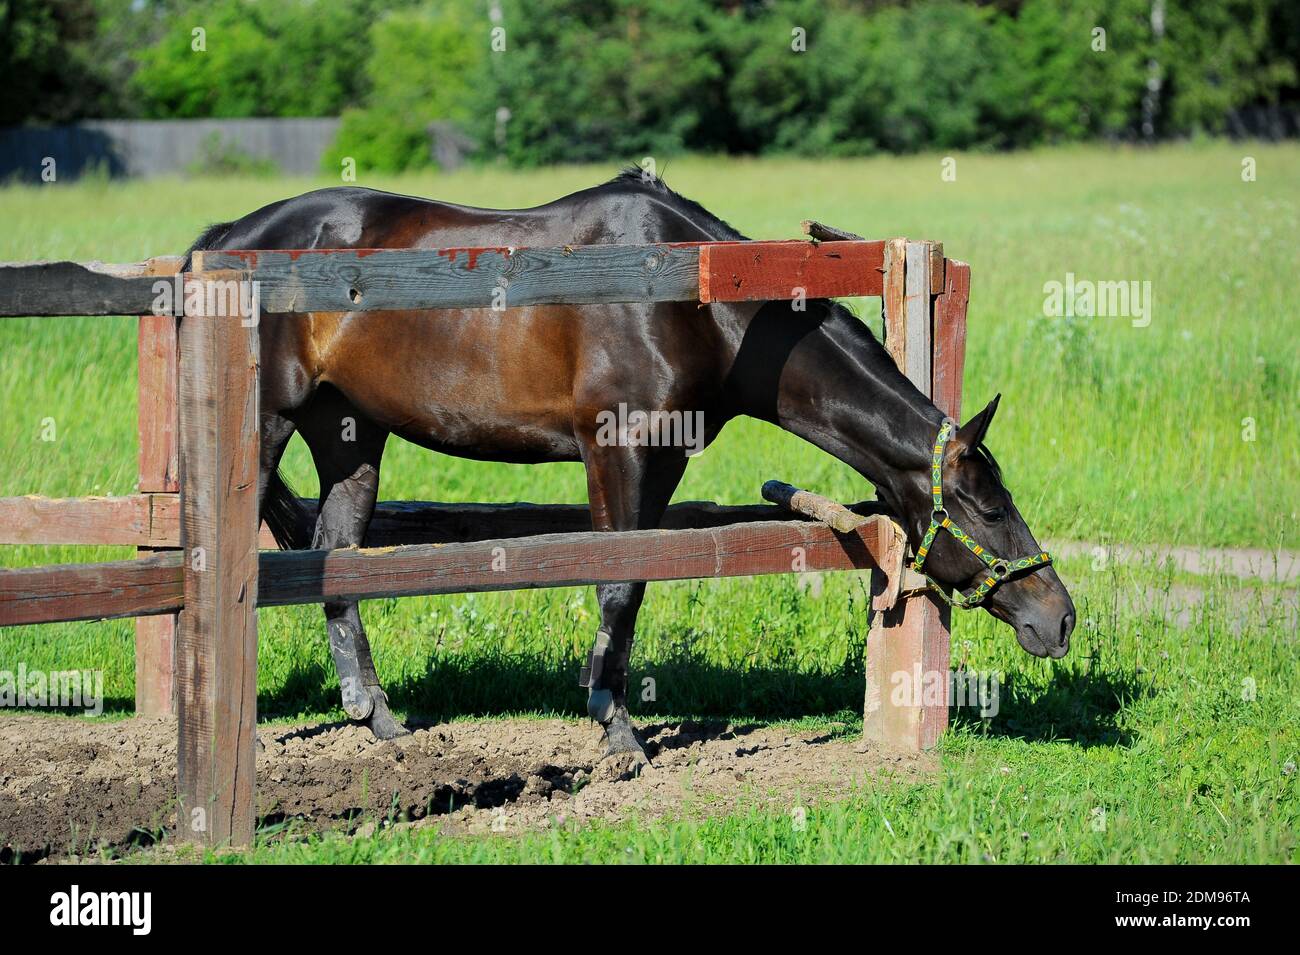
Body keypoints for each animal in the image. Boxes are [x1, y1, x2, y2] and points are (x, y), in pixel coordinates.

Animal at [184, 169, 1075, 762]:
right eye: (989, 507)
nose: (1058, 616)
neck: (701, 303)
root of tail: (226, 240)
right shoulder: (616, 449)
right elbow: (619, 579)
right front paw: (616, 728)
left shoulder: (664, 460)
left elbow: (639, 576)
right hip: (267, 428)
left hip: (349, 435)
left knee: (336, 562)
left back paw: (378, 718)